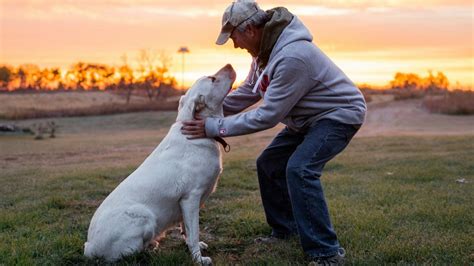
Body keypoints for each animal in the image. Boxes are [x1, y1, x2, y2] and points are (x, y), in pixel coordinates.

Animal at [84, 64, 237, 264]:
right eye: (212, 79)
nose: (230, 65)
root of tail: (90, 248)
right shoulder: (191, 198)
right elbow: (194, 232)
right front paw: (198, 259)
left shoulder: (186, 204)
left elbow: (187, 231)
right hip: (145, 216)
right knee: (127, 255)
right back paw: (149, 249)